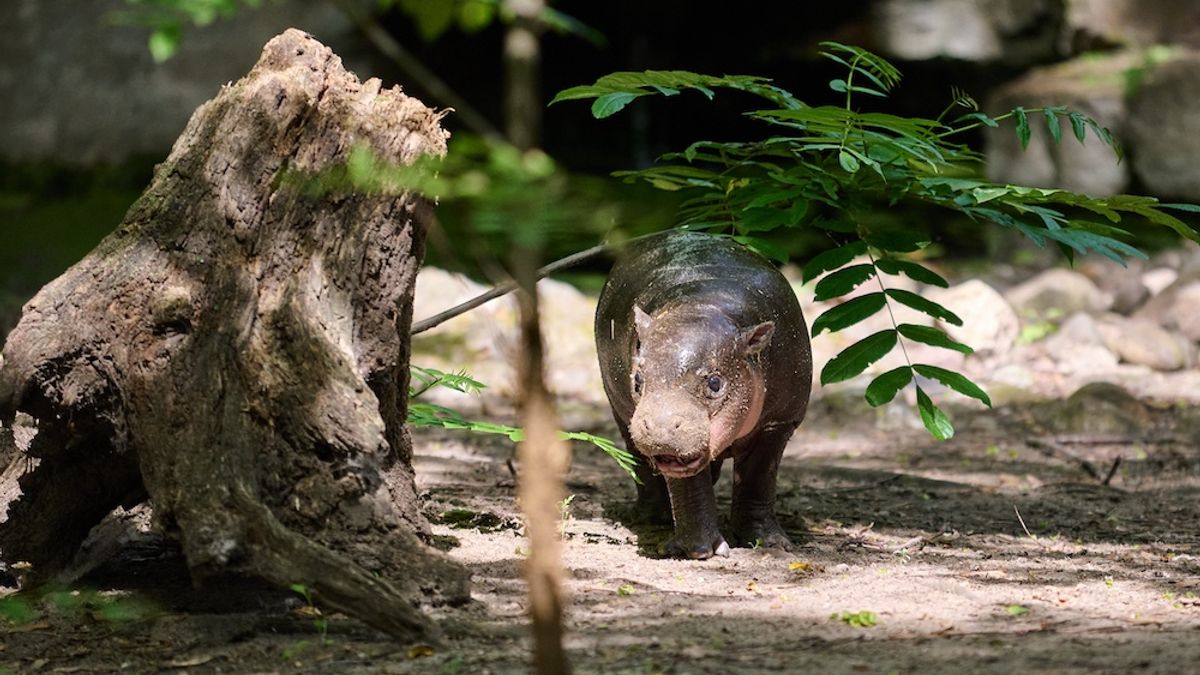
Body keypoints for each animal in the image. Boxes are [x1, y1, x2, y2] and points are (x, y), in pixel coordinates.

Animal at [595, 230, 812, 559]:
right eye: (638, 379)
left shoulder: (779, 422)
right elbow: (689, 487)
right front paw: (698, 550)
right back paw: (653, 518)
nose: (660, 426)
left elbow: (758, 480)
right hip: (622, 415)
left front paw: (770, 543)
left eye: (714, 382)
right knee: (642, 466)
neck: (701, 309)